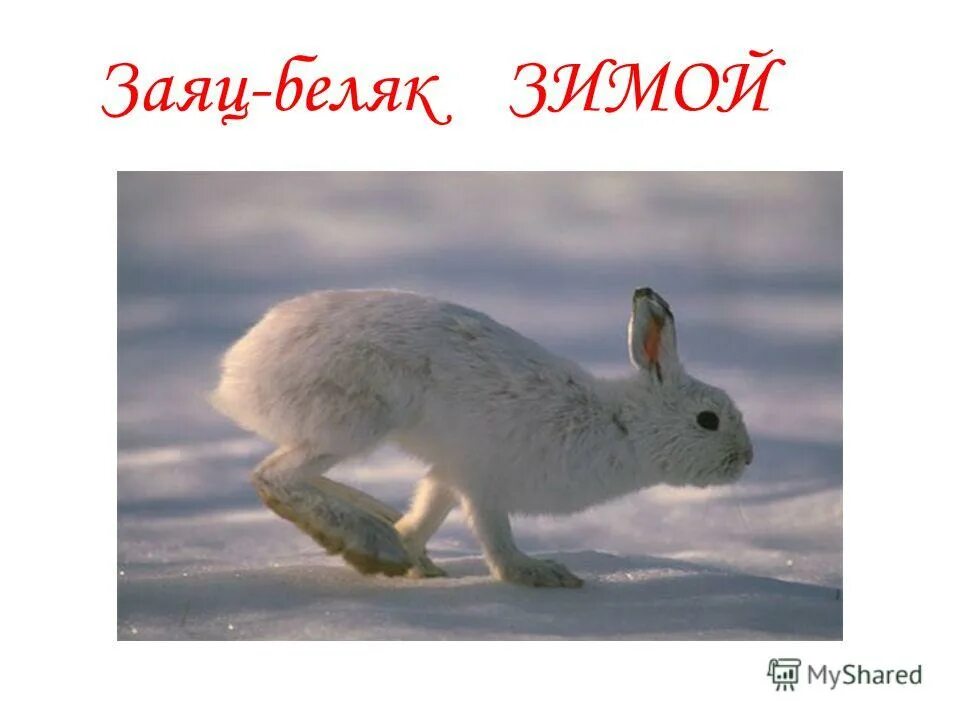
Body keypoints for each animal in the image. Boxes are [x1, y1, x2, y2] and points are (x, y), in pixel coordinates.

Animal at [211, 287, 753, 588]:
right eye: (708, 420)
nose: (747, 457)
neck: (621, 425)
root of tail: (239, 368)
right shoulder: (485, 484)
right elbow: (497, 541)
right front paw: (537, 574)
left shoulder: (450, 475)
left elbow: (426, 512)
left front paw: (414, 559)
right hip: (355, 419)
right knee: (273, 476)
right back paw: (366, 542)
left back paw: (380, 536)